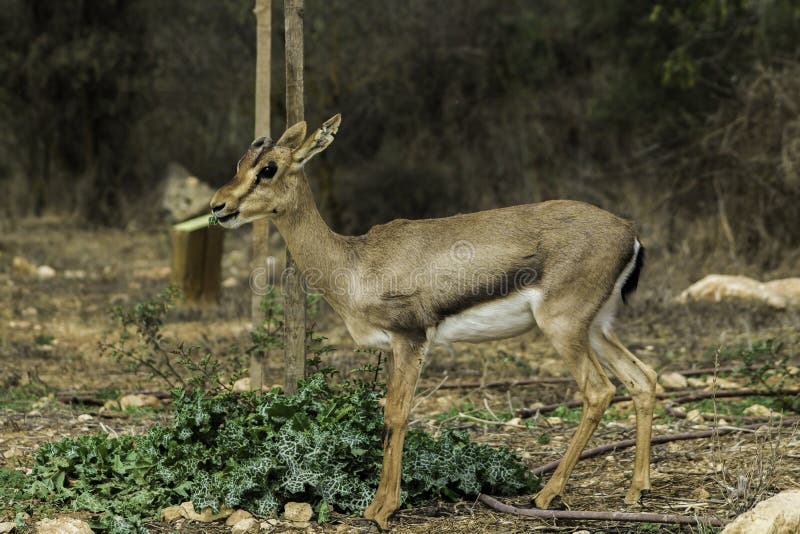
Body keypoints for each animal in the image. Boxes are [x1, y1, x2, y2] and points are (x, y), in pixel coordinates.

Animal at [210, 115, 656, 530]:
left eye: (268, 168)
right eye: (239, 163)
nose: (218, 206)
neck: (355, 263)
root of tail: (630, 233)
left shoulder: (410, 338)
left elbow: (397, 414)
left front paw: (383, 510)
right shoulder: (393, 346)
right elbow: (389, 415)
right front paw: (376, 506)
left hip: (563, 327)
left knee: (599, 390)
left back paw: (546, 495)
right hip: (596, 328)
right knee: (643, 378)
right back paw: (636, 490)